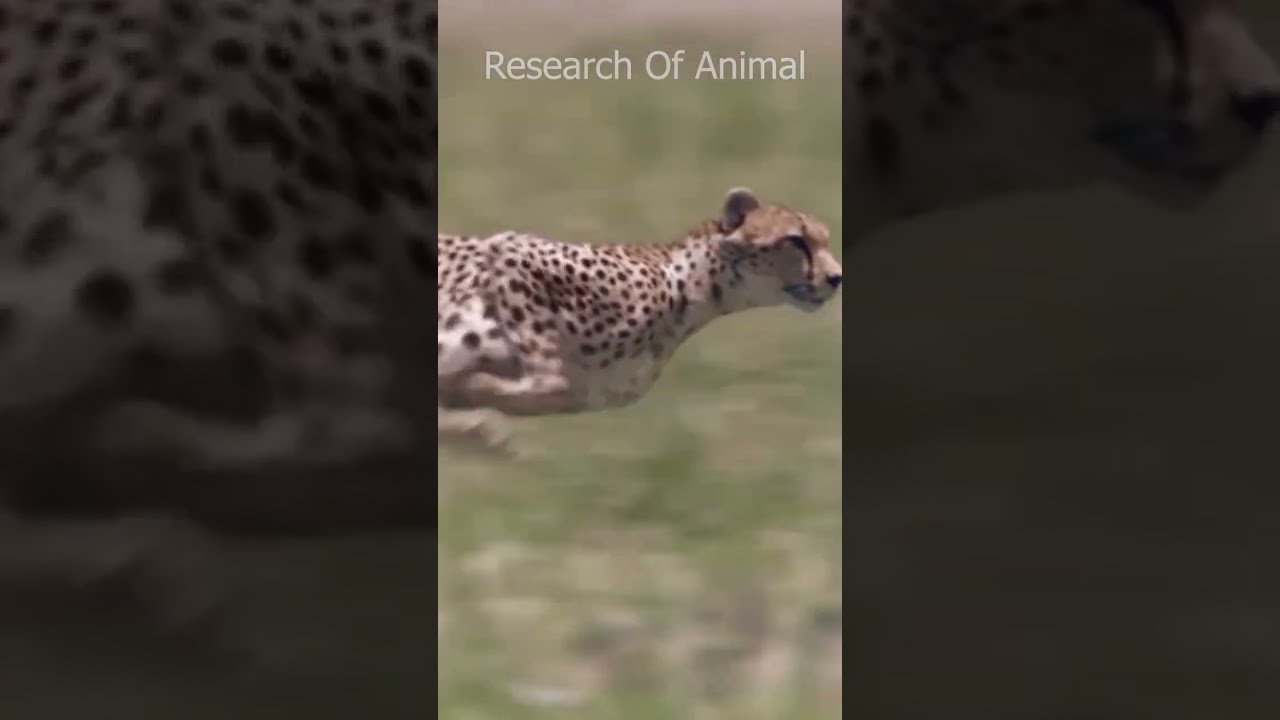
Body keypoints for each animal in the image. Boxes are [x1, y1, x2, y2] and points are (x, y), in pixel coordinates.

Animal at [437, 187, 842, 452]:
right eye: (796, 241)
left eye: (825, 240)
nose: (836, 277)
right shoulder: (510, 251)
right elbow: (553, 379)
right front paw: (474, 397)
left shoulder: (595, 393)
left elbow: (554, 390)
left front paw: (475, 416)